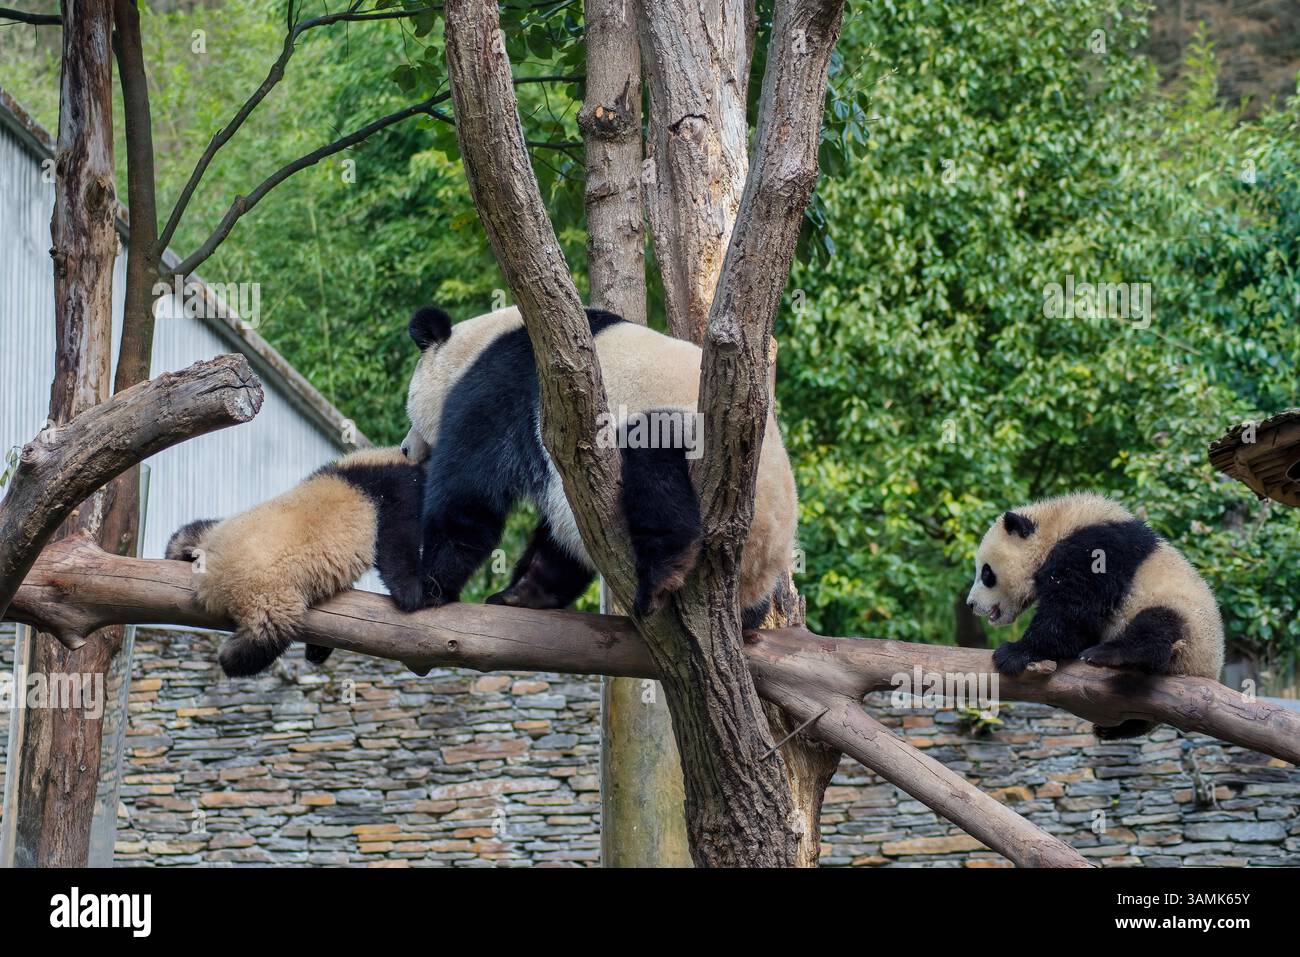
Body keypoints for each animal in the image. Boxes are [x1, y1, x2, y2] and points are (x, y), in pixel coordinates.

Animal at [165, 447, 424, 677]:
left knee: (191, 530)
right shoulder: (390, 491)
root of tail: (207, 582)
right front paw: (413, 594)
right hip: (268, 594)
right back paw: (229, 657)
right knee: (265, 637)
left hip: (216, 531)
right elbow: (396, 543)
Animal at [400, 304, 798, 626]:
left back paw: (659, 580)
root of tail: (761, 564)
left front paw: (426, 585)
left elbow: (469, 492)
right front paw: (521, 592)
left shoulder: (502, 385)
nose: (405, 449)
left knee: (655, 476)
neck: (477, 346)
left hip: (695, 442)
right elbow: (560, 533)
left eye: (411, 413)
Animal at [965, 492, 1224, 739]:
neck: (1058, 522)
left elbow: (1073, 610)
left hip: (1186, 622)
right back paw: (1113, 730)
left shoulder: (1096, 548)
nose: (970, 604)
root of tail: (1206, 671)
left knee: (1157, 628)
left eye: (986, 573)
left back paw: (1110, 654)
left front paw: (1015, 652)